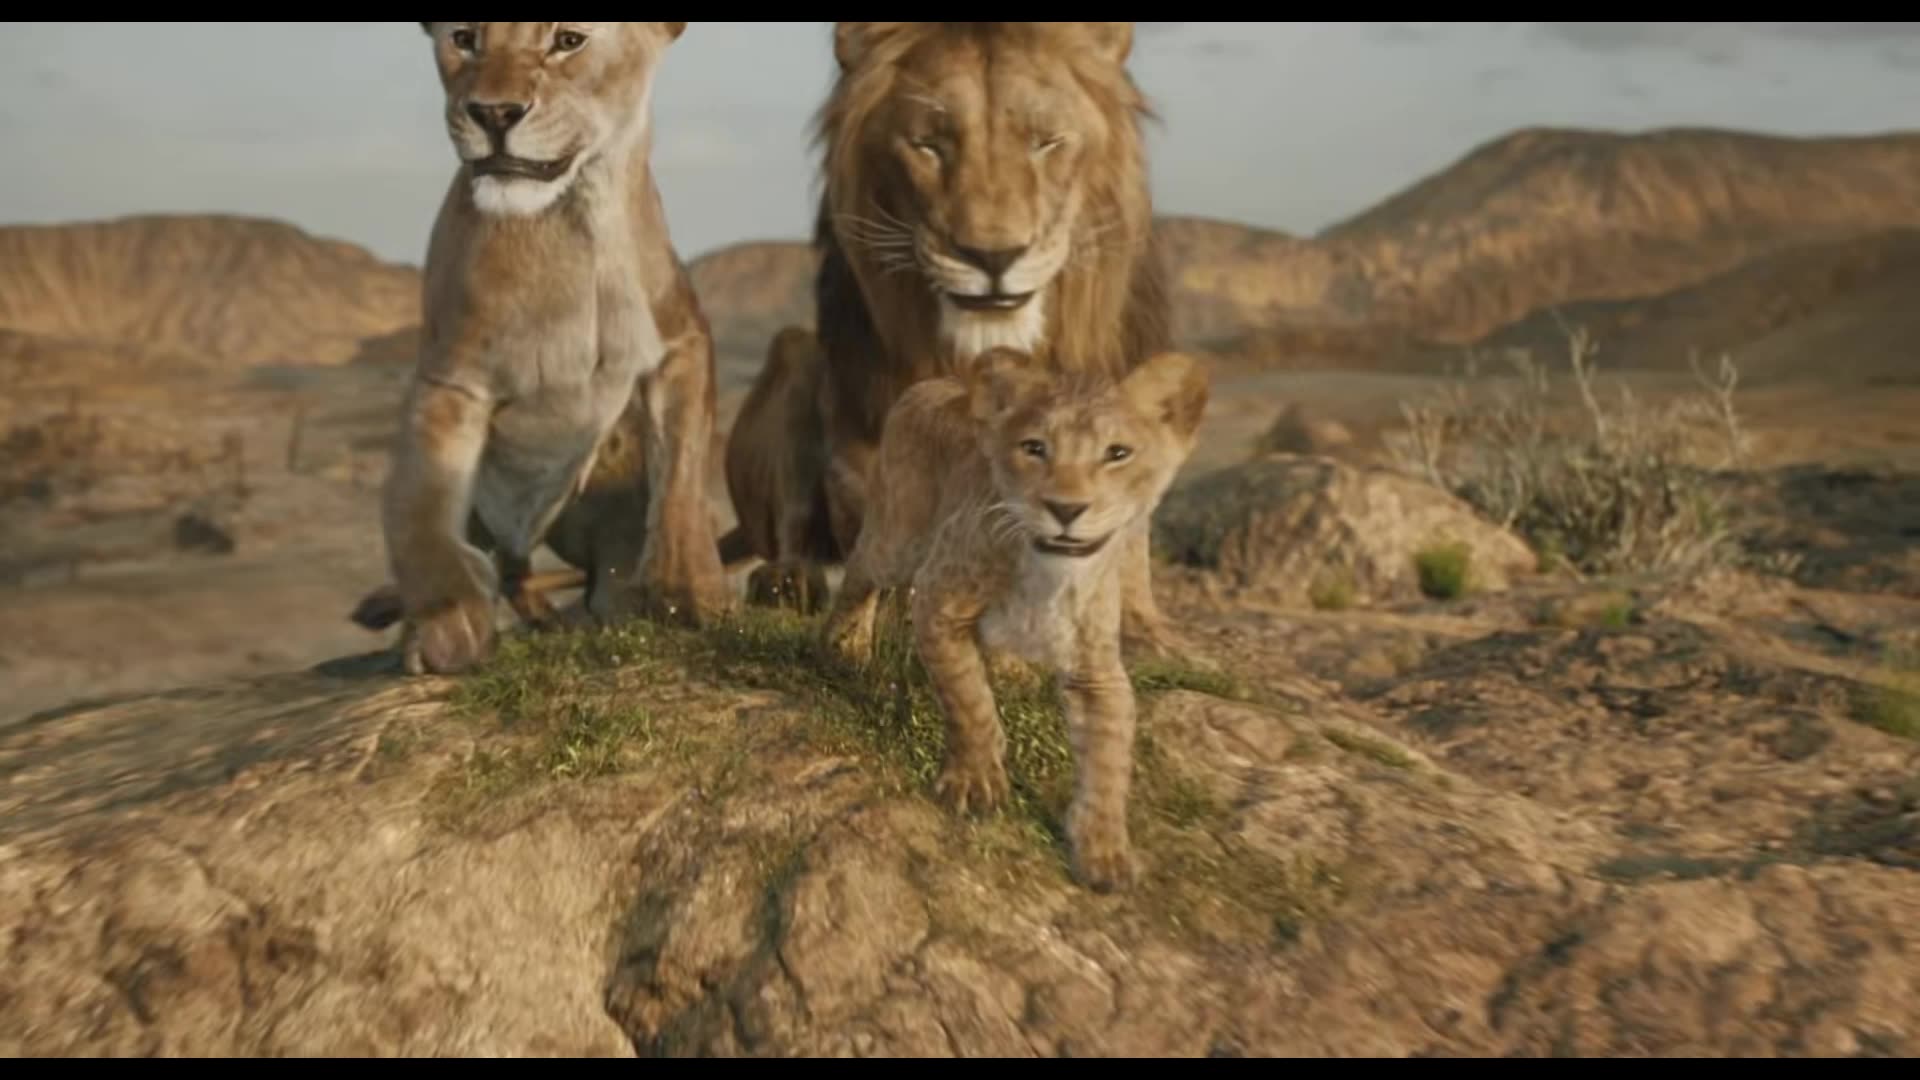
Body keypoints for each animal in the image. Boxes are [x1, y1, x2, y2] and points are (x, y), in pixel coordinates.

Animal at [370, 21, 730, 675]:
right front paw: (444, 624)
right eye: (464, 39)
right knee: (505, 566)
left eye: (568, 41)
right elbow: (419, 500)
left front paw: (690, 590)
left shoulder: (681, 339)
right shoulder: (451, 377)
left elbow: (683, 477)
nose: (494, 112)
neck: (572, 224)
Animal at [720, 21, 1195, 662]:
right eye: (929, 145)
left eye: (1046, 143)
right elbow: (882, 515)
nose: (993, 257)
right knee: (794, 533)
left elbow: (1129, 536)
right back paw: (788, 580)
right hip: (794, 353)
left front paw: (1146, 634)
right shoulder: (868, 428)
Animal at [820, 346, 1210, 891]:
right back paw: (843, 644)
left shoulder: (1098, 671)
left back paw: (1012, 671)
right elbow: (968, 698)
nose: (1066, 509)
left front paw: (1104, 849)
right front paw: (975, 780)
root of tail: (936, 384)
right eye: (1034, 448)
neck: (1048, 574)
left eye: (1117, 453)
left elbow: (1109, 754)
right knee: (860, 571)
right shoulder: (938, 601)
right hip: (898, 539)